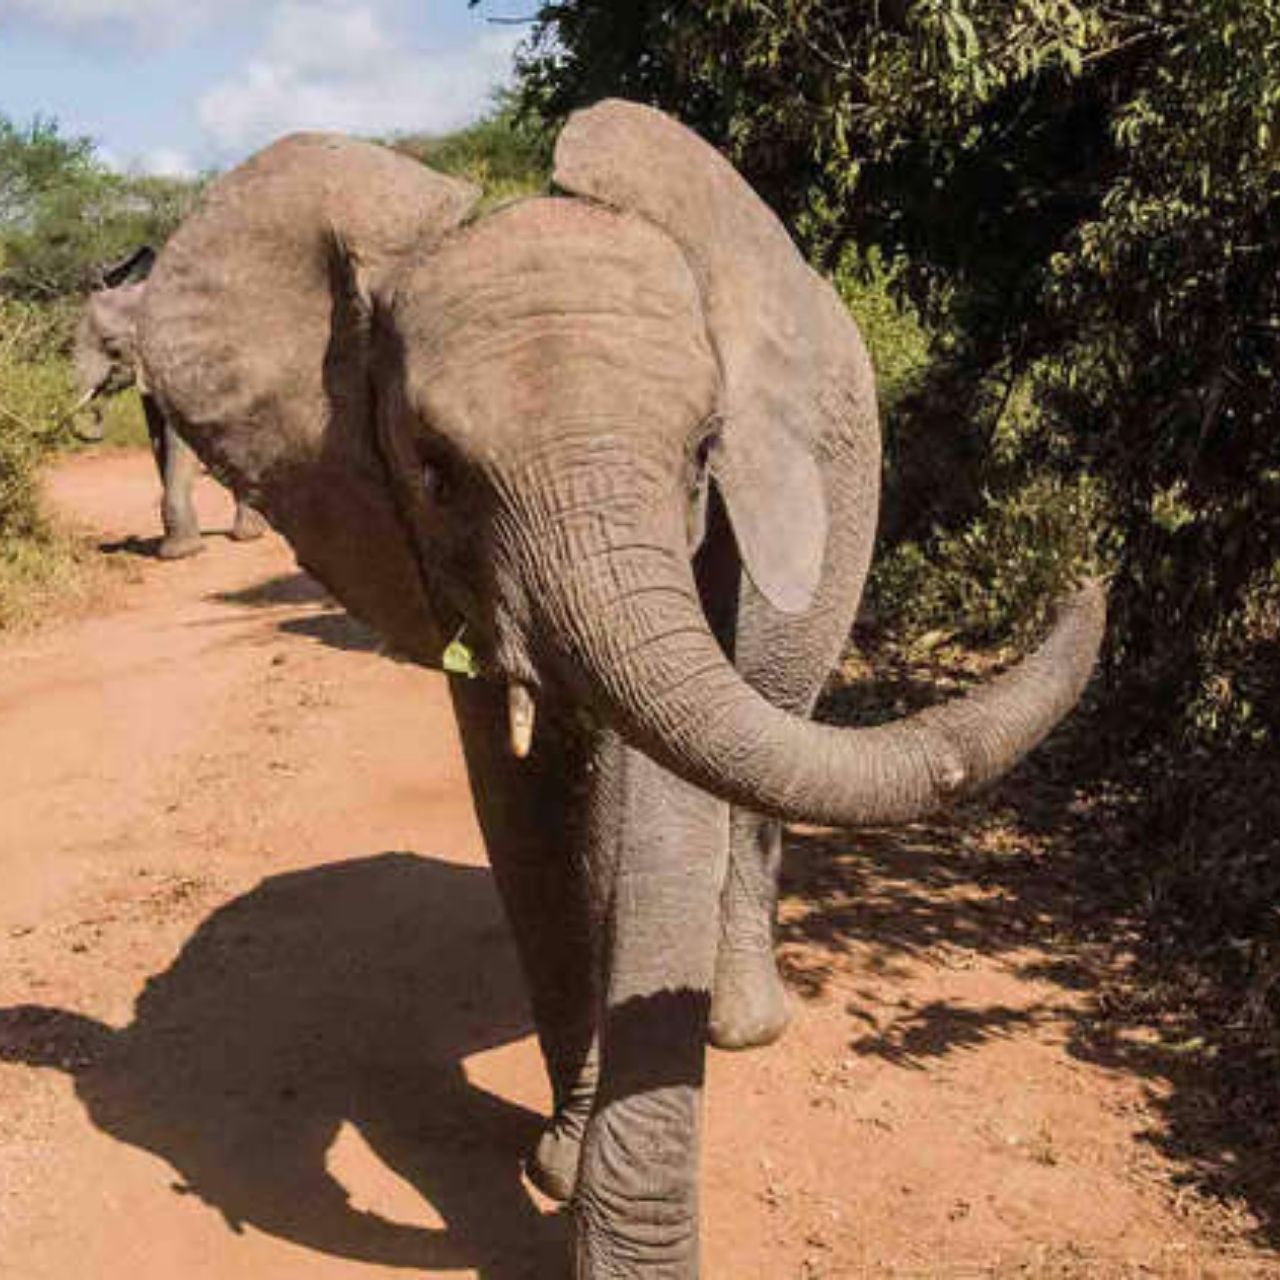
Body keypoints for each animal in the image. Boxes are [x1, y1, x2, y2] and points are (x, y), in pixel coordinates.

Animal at [70, 246, 267, 559]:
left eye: (111, 346)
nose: (97, 411)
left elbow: (178, 438)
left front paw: (181, 554)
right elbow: (157, 437)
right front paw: (176, 548)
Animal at [136, 101, 1105, 1277]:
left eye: (704, 449)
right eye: (434, 469)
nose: (1090, 569)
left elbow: (662, 810)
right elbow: (525, 811)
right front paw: (559, 1166)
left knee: (768, 741)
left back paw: (739, 1028)